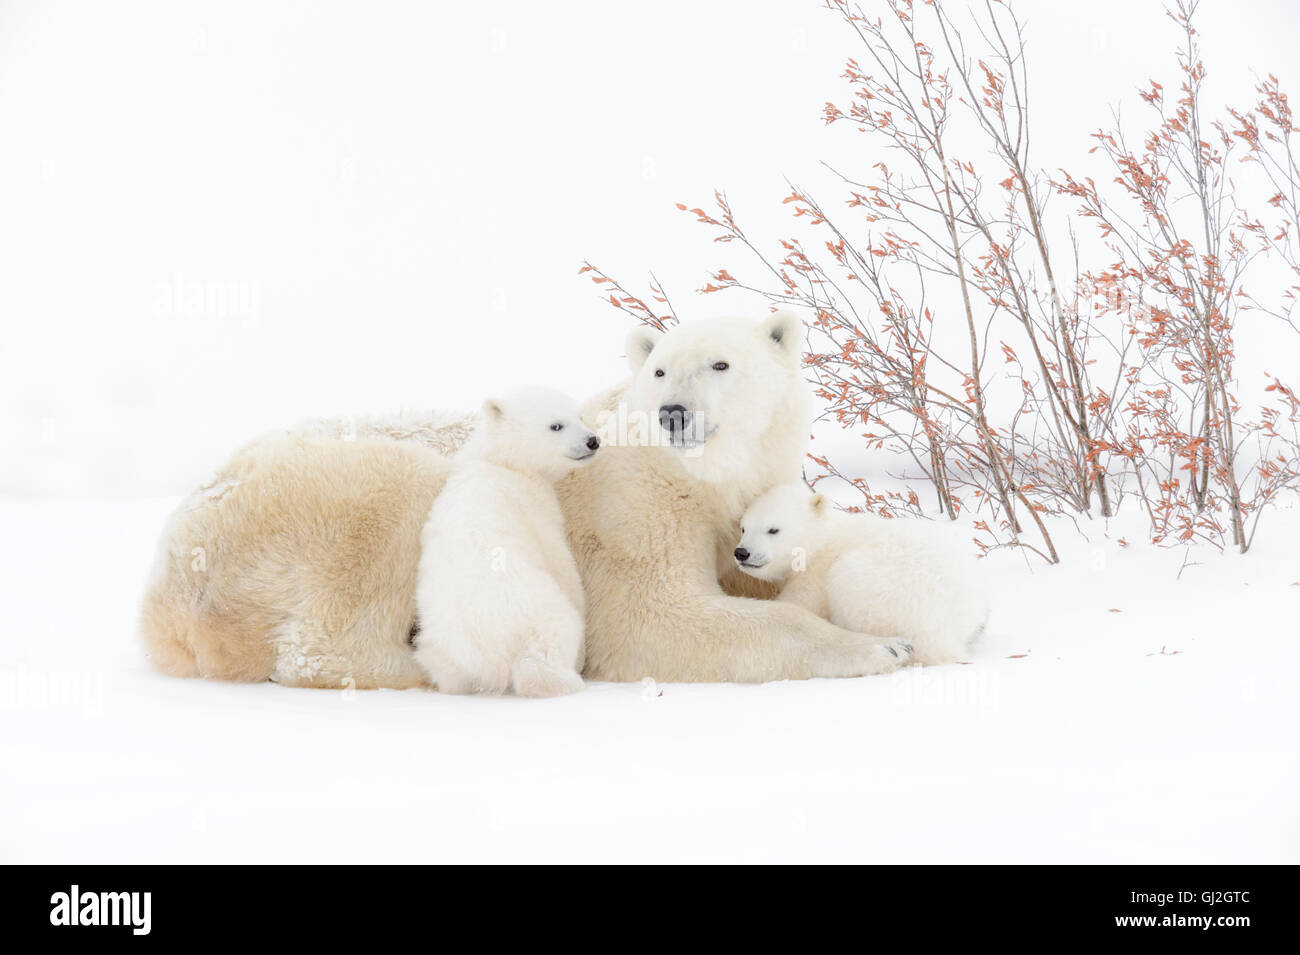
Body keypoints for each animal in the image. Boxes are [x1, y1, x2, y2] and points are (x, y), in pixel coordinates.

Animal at [414, 387, 600, 697]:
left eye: (580, 416)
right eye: (556, 425)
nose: (593, 440)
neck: (499, 461)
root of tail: (490, 657)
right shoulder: (533, 504)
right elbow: (560, 561)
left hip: (442, 641)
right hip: (534, 611)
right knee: (547, 645)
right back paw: (568, 678)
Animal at [732, 482, 989, 666]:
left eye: (773, 529)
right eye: (744, 528)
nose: (742, 552)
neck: (822, 540)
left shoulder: (817, 574)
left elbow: (798, 604)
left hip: (873, 587)